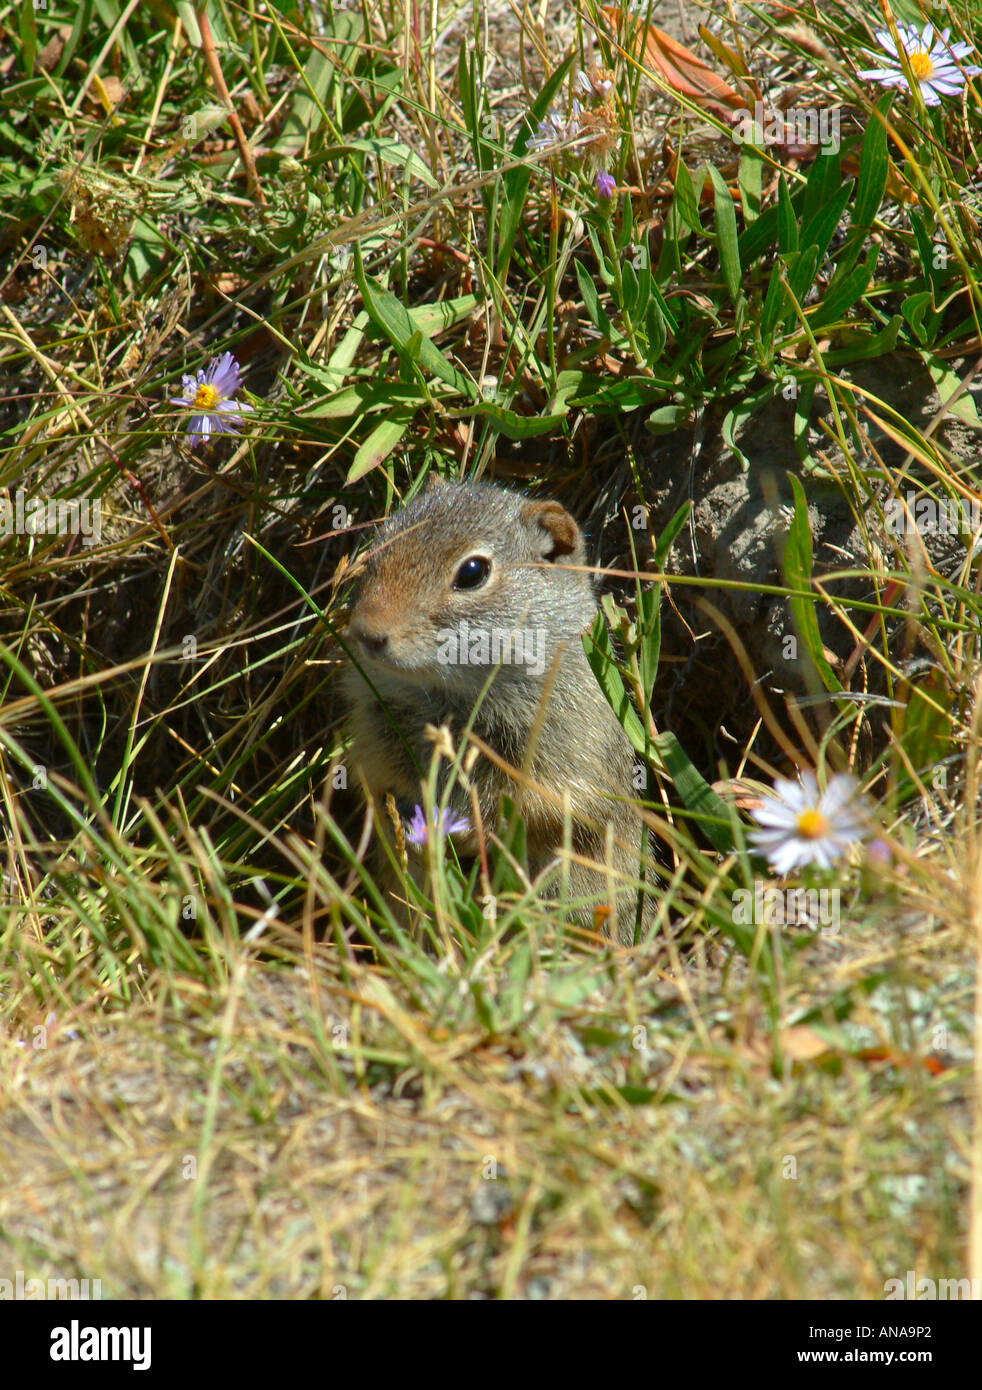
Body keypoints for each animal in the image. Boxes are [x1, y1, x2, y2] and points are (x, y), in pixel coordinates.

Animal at [342, 479, 655, 944]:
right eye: (377, 549)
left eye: (472, 572)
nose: (366, 632)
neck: (450, 697)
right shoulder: (378, 737)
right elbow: (382, 783)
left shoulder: (563, 755)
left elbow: (537, 808)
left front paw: (466, 836)